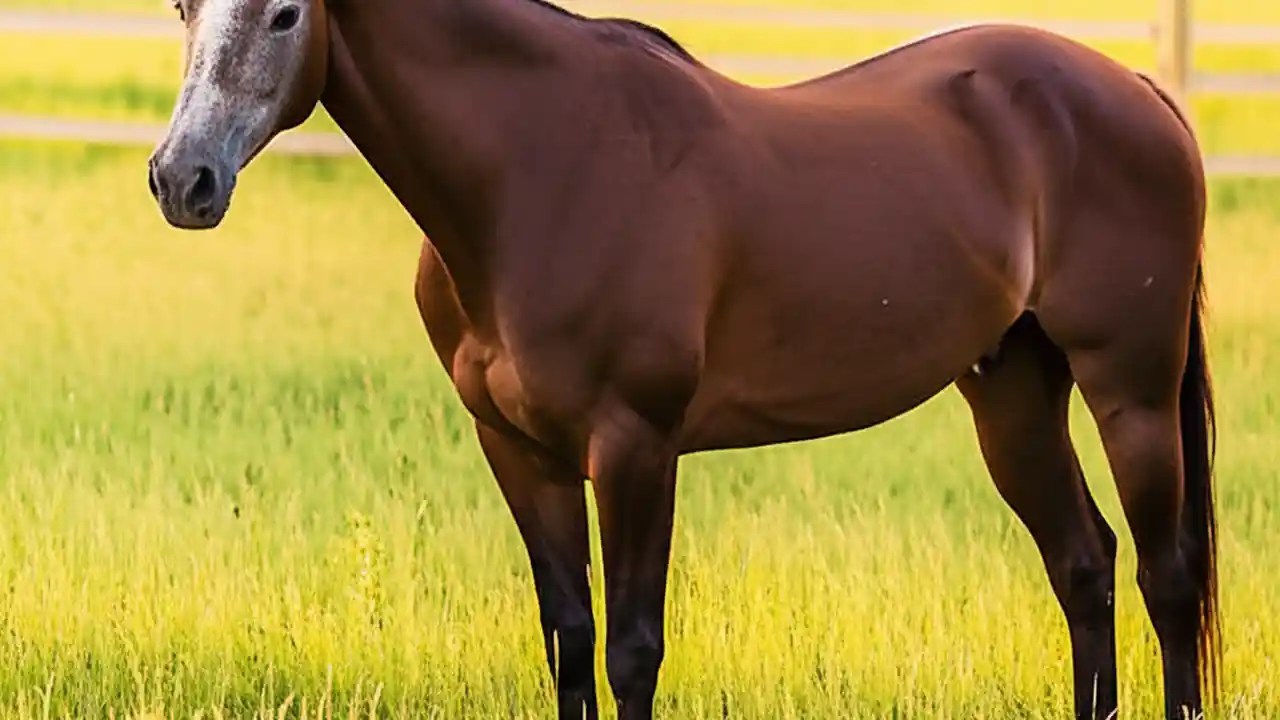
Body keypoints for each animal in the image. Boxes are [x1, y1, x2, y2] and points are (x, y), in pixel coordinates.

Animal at [147, 1, 1219, 718]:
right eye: (185, 6)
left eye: (286, 12)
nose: (181, 178)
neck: (540, 170)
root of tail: (1139, 92)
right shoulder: (519, 452)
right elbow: (570, 640)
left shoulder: (635, 446)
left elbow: (631, 649)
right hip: (1015, 394)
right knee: (1084, 565)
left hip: (1130, 389)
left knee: (1166, 579)